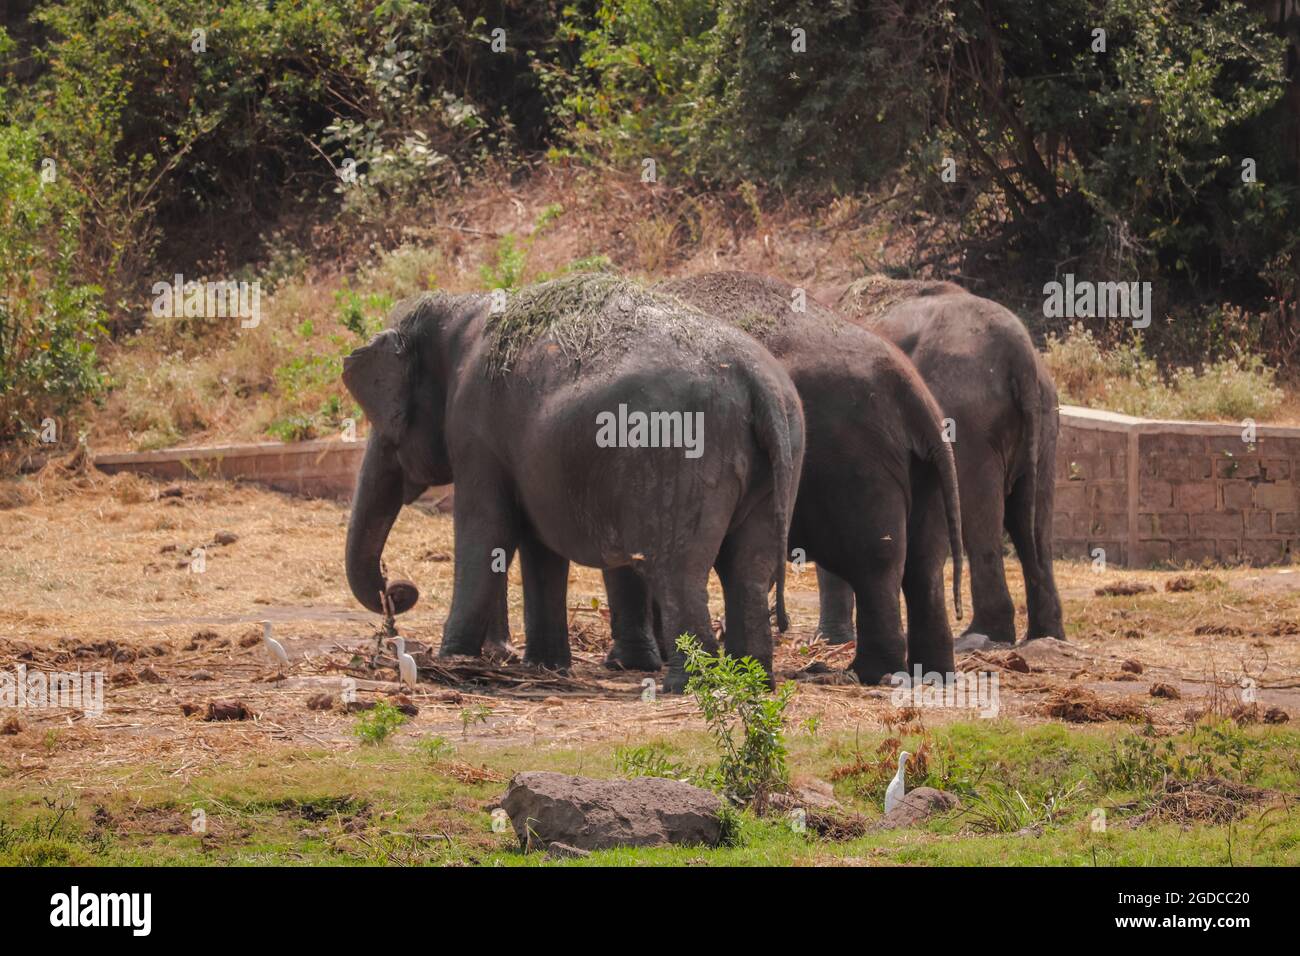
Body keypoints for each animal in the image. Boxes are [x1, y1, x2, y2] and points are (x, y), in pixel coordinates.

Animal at [341, 273, 804, 693]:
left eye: (386, 424)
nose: (399, 590)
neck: (460, 306)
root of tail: (756, 381)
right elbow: (539, 548)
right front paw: (545, 668)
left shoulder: (475, 431)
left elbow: (486, 531)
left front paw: (451, 662)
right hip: (781, 454)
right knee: (748, 570)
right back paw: (753, 682)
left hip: (684, 459)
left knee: (679, 571)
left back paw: (685, 686)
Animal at [600, 271, 965, 685]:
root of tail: (913, 393)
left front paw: (628, 663)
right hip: (921, 470)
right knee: (924, 566)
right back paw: (933, 673)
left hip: (856, 464)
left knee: (876, 561)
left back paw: (872, 672)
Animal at [831, 276, 1065, 647]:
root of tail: (1020, 352)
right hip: (1045, 417)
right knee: (1031, 519)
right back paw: (1046, 636)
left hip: (965, 415)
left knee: (980, 511)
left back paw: (978, 638)